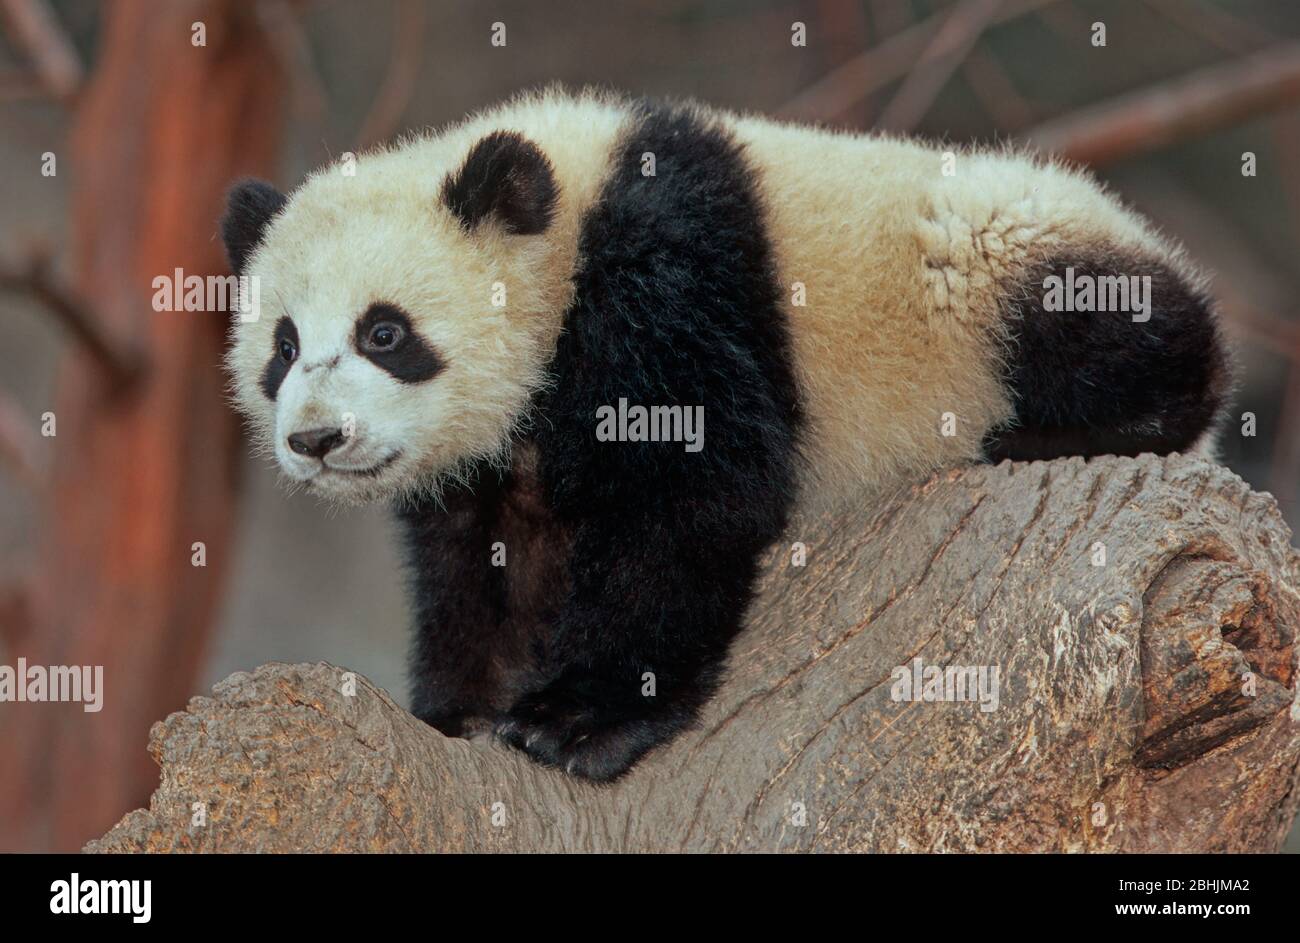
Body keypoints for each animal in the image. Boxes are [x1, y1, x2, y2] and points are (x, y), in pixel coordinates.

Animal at [221, 87, 1229, 781]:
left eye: (384, 333)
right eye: (283, 346)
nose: (315, 439)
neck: (566, 221)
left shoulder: (671, 274)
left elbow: (692, 495)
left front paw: (578, 721)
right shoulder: (492, 464)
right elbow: (482, 558)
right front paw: (460, 710)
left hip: (992, 264)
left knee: (1095, 322)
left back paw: (1062, 430)